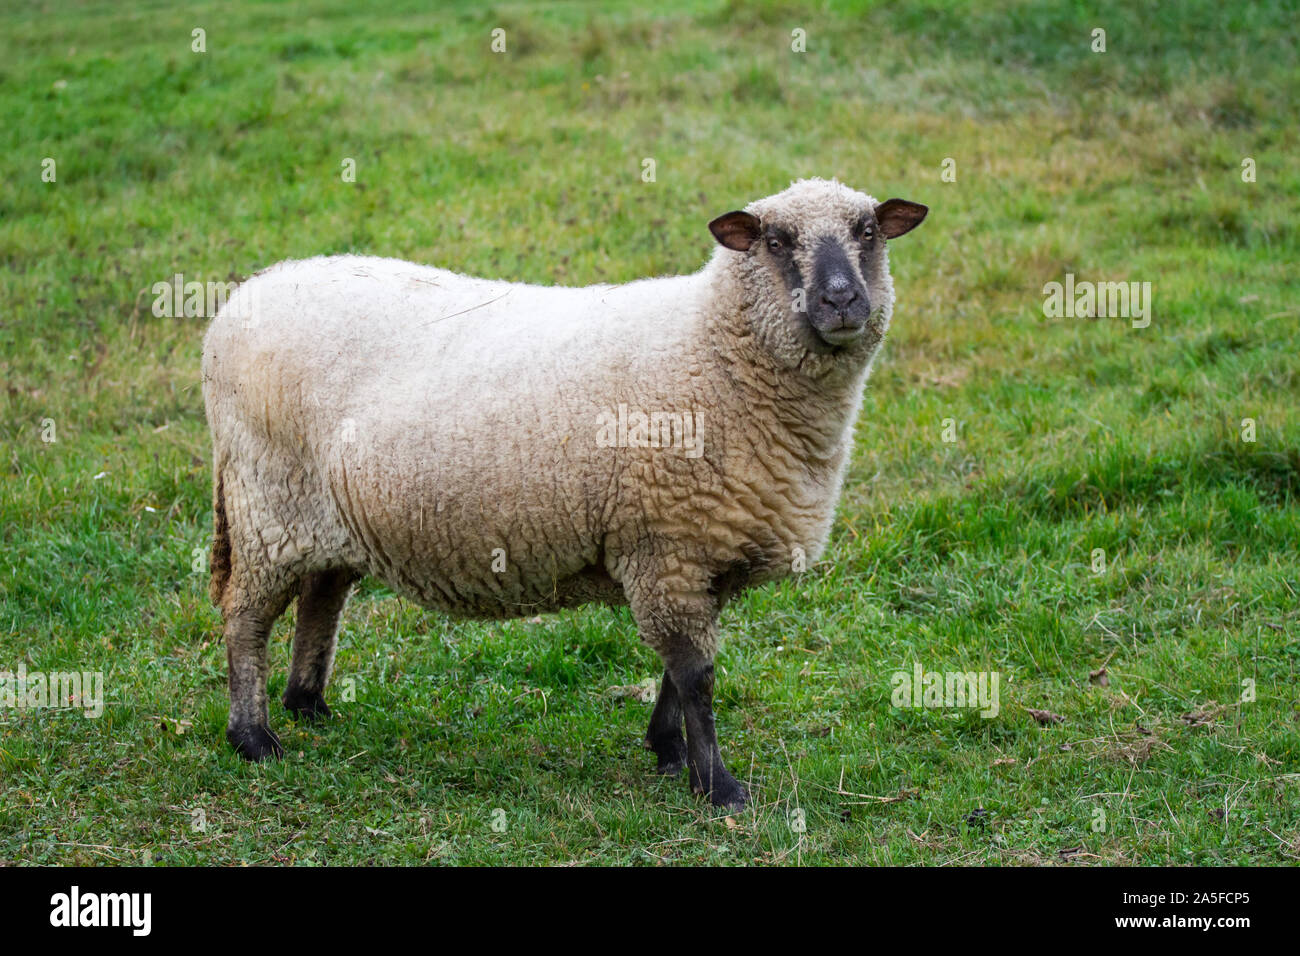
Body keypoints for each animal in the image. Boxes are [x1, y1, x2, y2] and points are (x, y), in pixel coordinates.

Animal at [202, 177, 927, 809]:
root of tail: (239, 303)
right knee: (246, 617)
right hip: (266, 500)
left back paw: (309, 707)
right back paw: (254, 737)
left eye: (867, 232)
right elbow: (697, 676)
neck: (716, 349)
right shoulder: (666, 547)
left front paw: (669, 753)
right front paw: (717, 787)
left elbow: (679, 672)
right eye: (776, 240)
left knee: (321, 601)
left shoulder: (697, 553)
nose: (842, 300)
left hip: (327, 515)